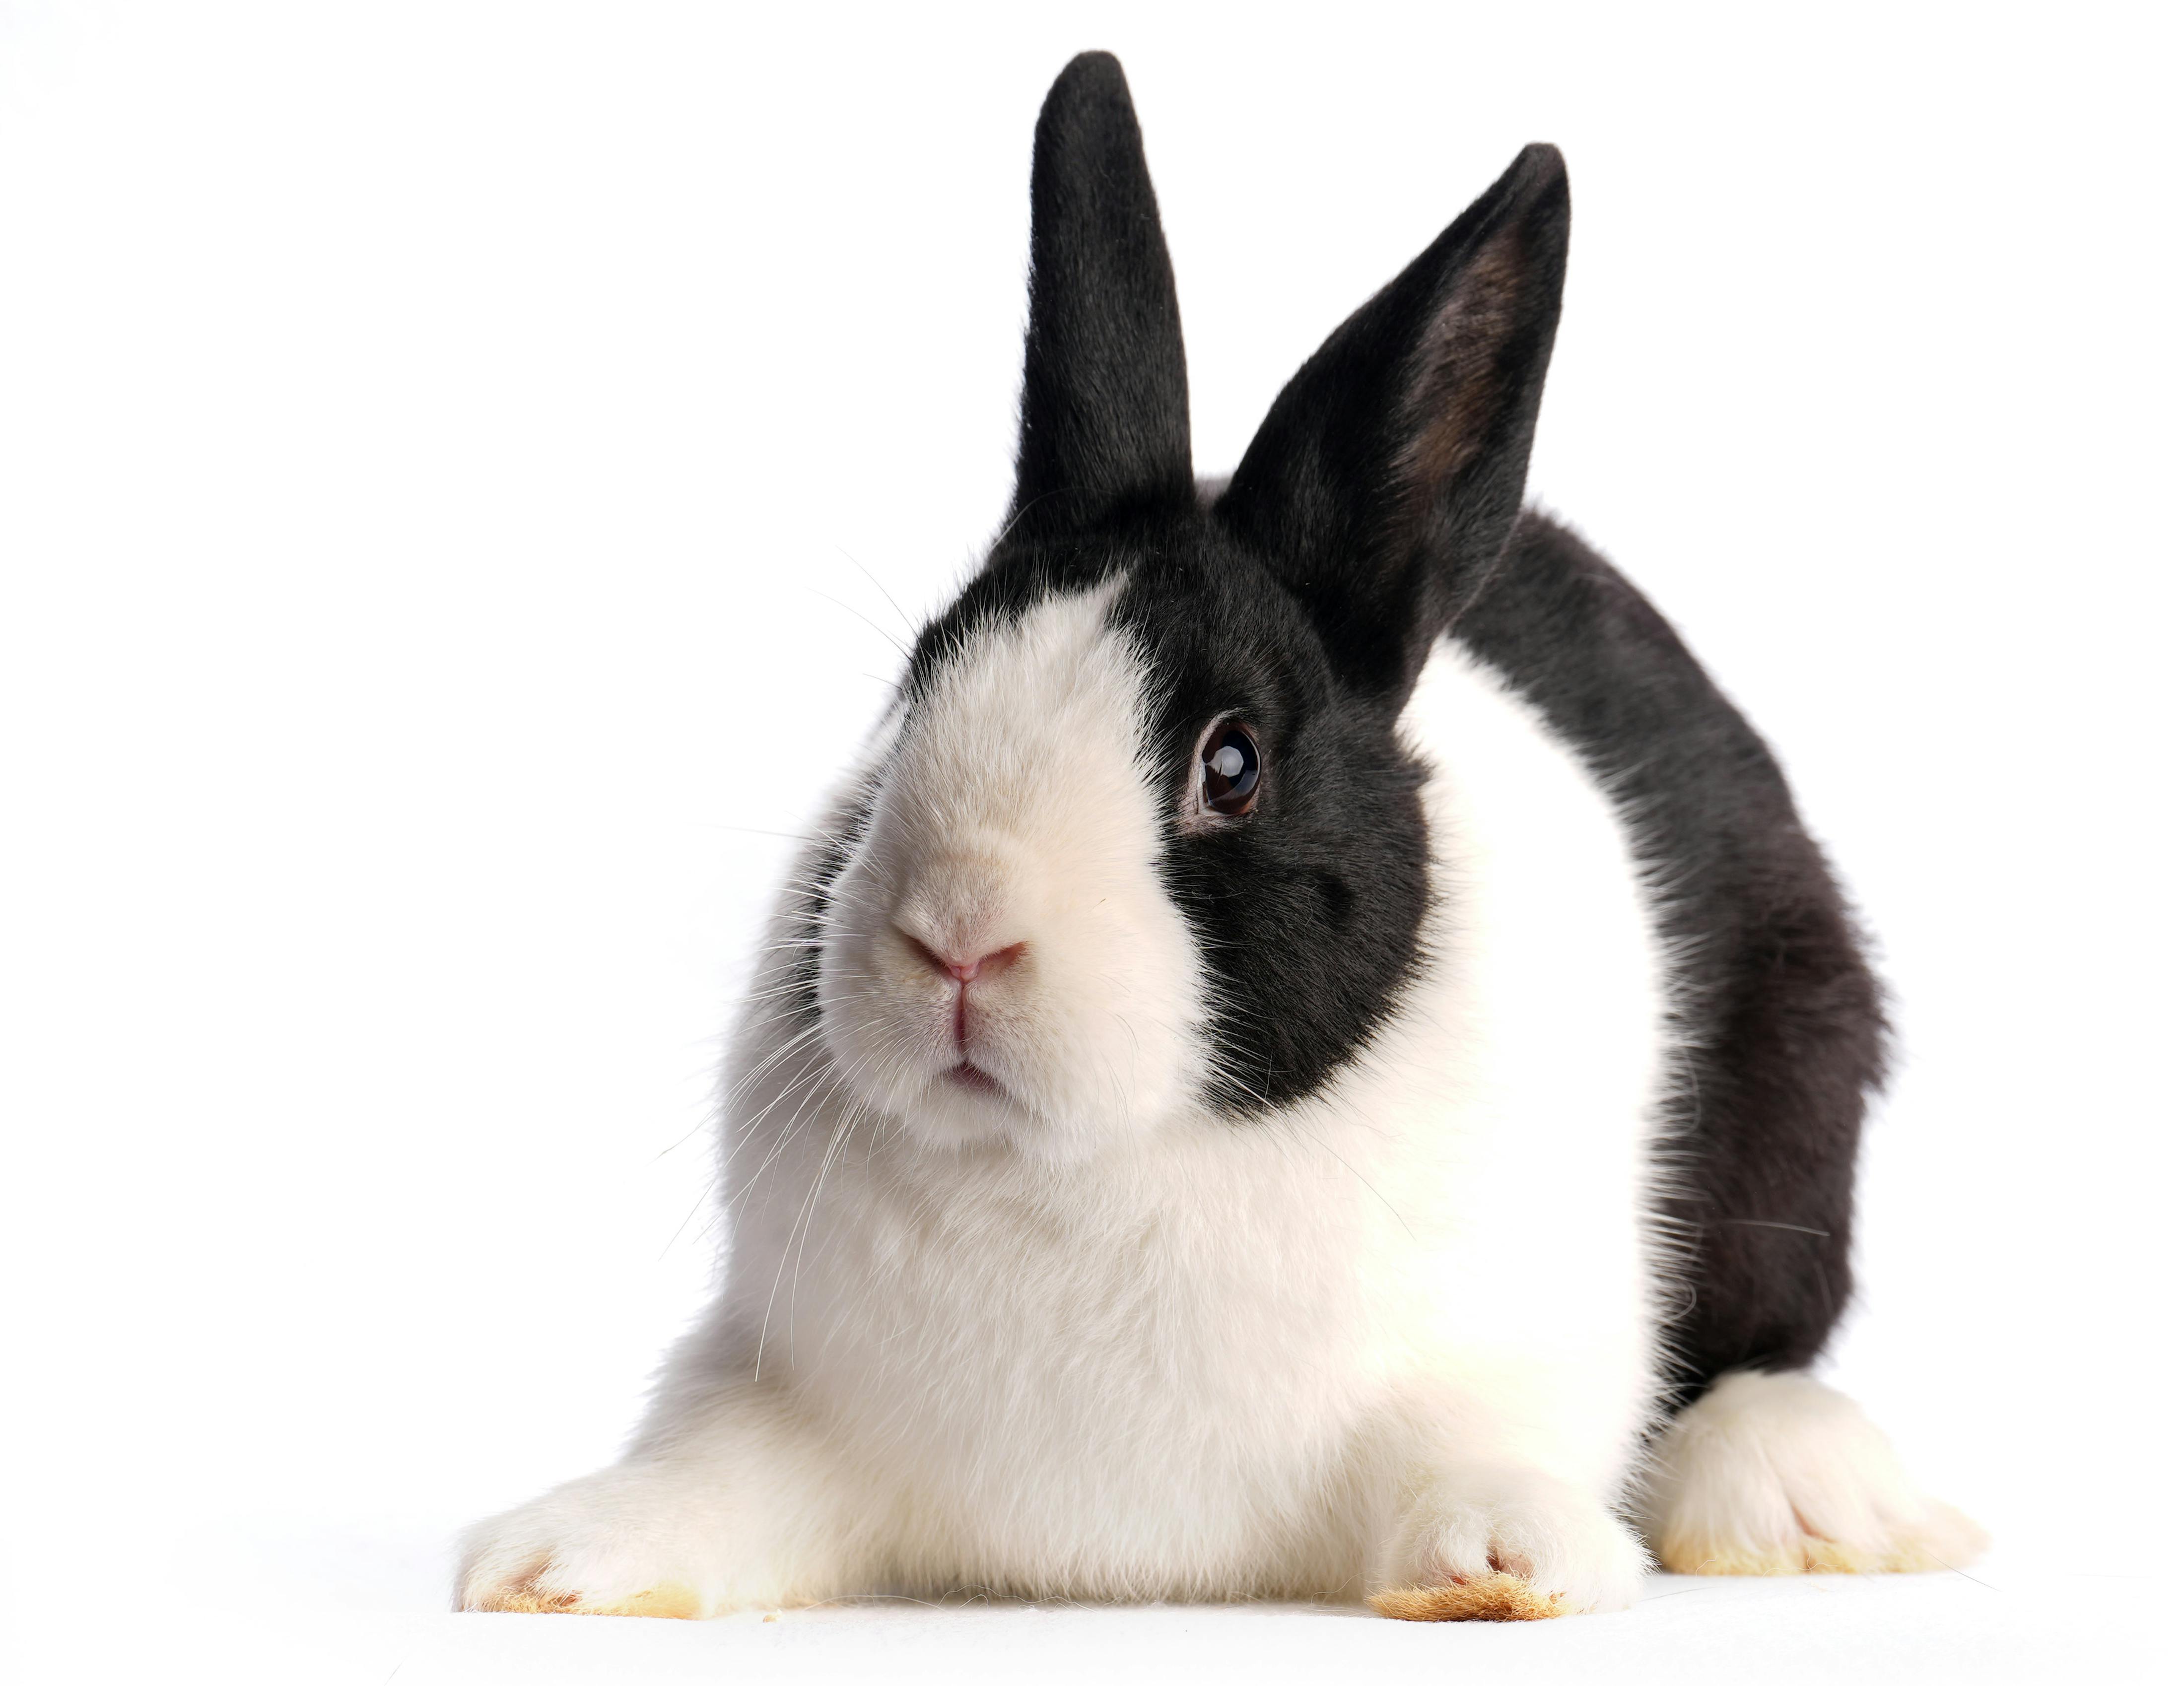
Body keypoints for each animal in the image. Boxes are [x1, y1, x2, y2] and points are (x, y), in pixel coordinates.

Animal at [456, 51, 1983, 1620]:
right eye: (919, 685)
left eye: (1231, 763)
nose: (957, 938)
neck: (1086, 1165)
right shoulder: (783, 1387)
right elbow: (712, 1471)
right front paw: (556, 1559)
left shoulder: (1512, 1355)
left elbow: (1473, 1446)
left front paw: (1503, 1559)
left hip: (1803, 1069)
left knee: (1764, 1343)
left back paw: (1803, 1505)